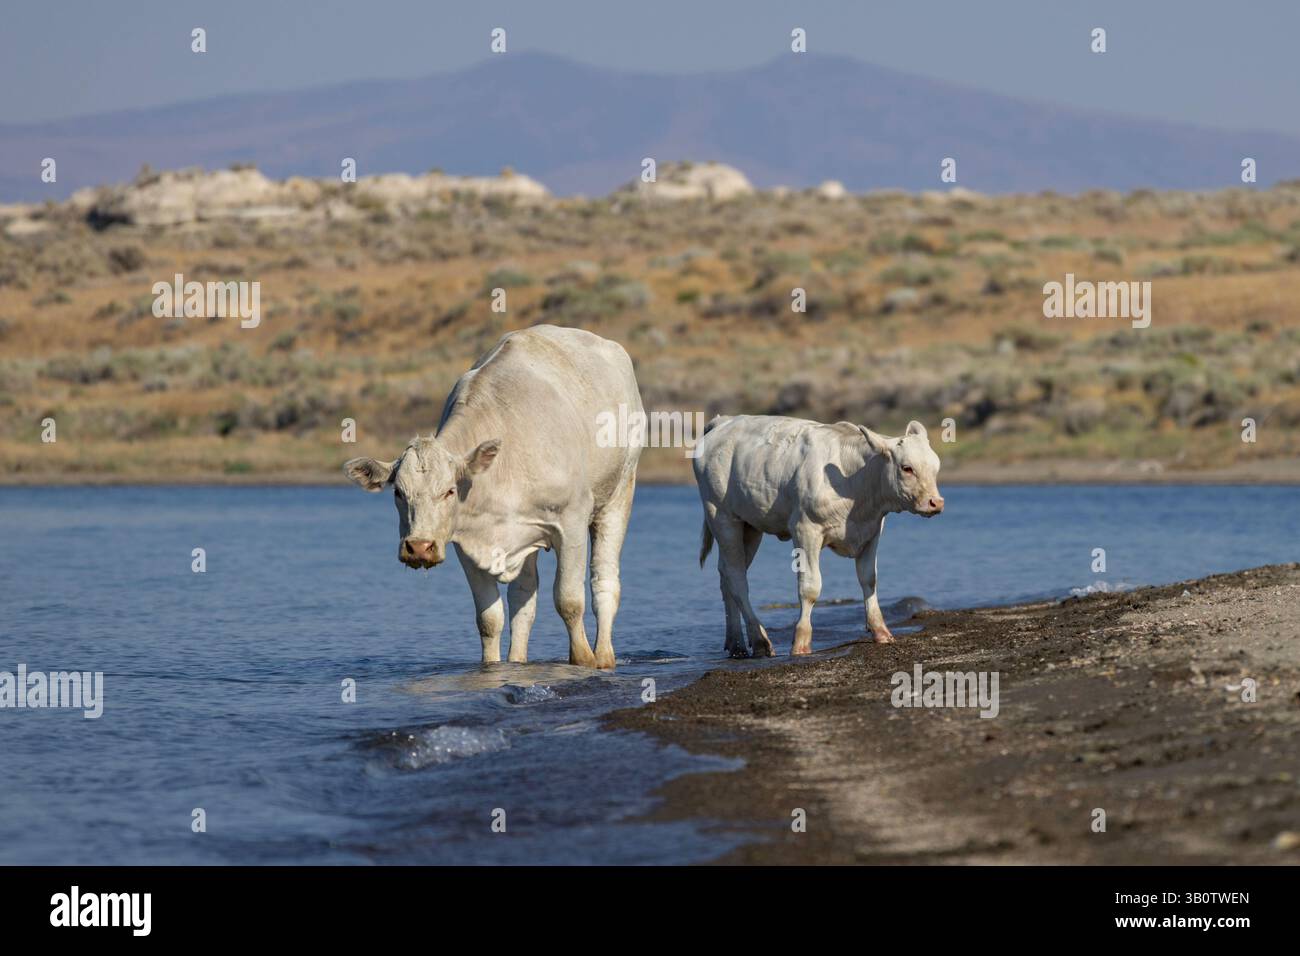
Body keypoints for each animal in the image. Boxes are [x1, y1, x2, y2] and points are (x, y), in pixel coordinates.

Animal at [344, 325, 643, 669]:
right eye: (398, 492)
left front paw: (583, 659)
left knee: (604, 582)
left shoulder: (572, 522)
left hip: (620, 493)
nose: (418, 547)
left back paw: (604, 655)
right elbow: (490, 618)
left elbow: (569, 600)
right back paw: (517, 661)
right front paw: (493, 668)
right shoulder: (464, 542)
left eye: (449, 490)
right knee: (523, 597)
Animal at [693, 415, 943, 658]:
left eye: (936, 467)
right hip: (721, 516)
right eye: (907, 468)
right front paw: (801, 642)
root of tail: (723, 421)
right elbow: (811, 587)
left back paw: (736, 644)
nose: (936, 502)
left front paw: (880, 631)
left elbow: (869, 579)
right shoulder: (805, 530)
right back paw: (760, 641)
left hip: (750, 525)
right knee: (736, 577)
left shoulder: (872, 530)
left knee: (727, 574)